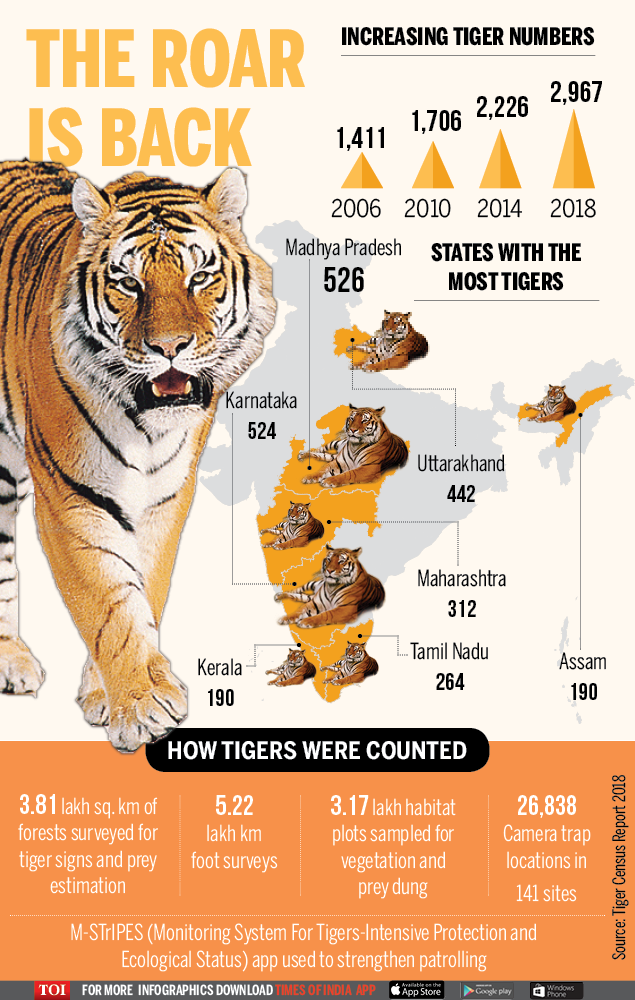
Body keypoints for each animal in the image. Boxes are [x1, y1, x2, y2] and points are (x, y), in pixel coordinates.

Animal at [0, 160, 275, 752]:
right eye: (129, 283)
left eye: (200, 277)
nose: (168, 347)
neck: (145, 427)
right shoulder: (72, 499)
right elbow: (106, 598)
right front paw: (142, 705)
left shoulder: (165, 497)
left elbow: (144, 587)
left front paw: (107, 693)